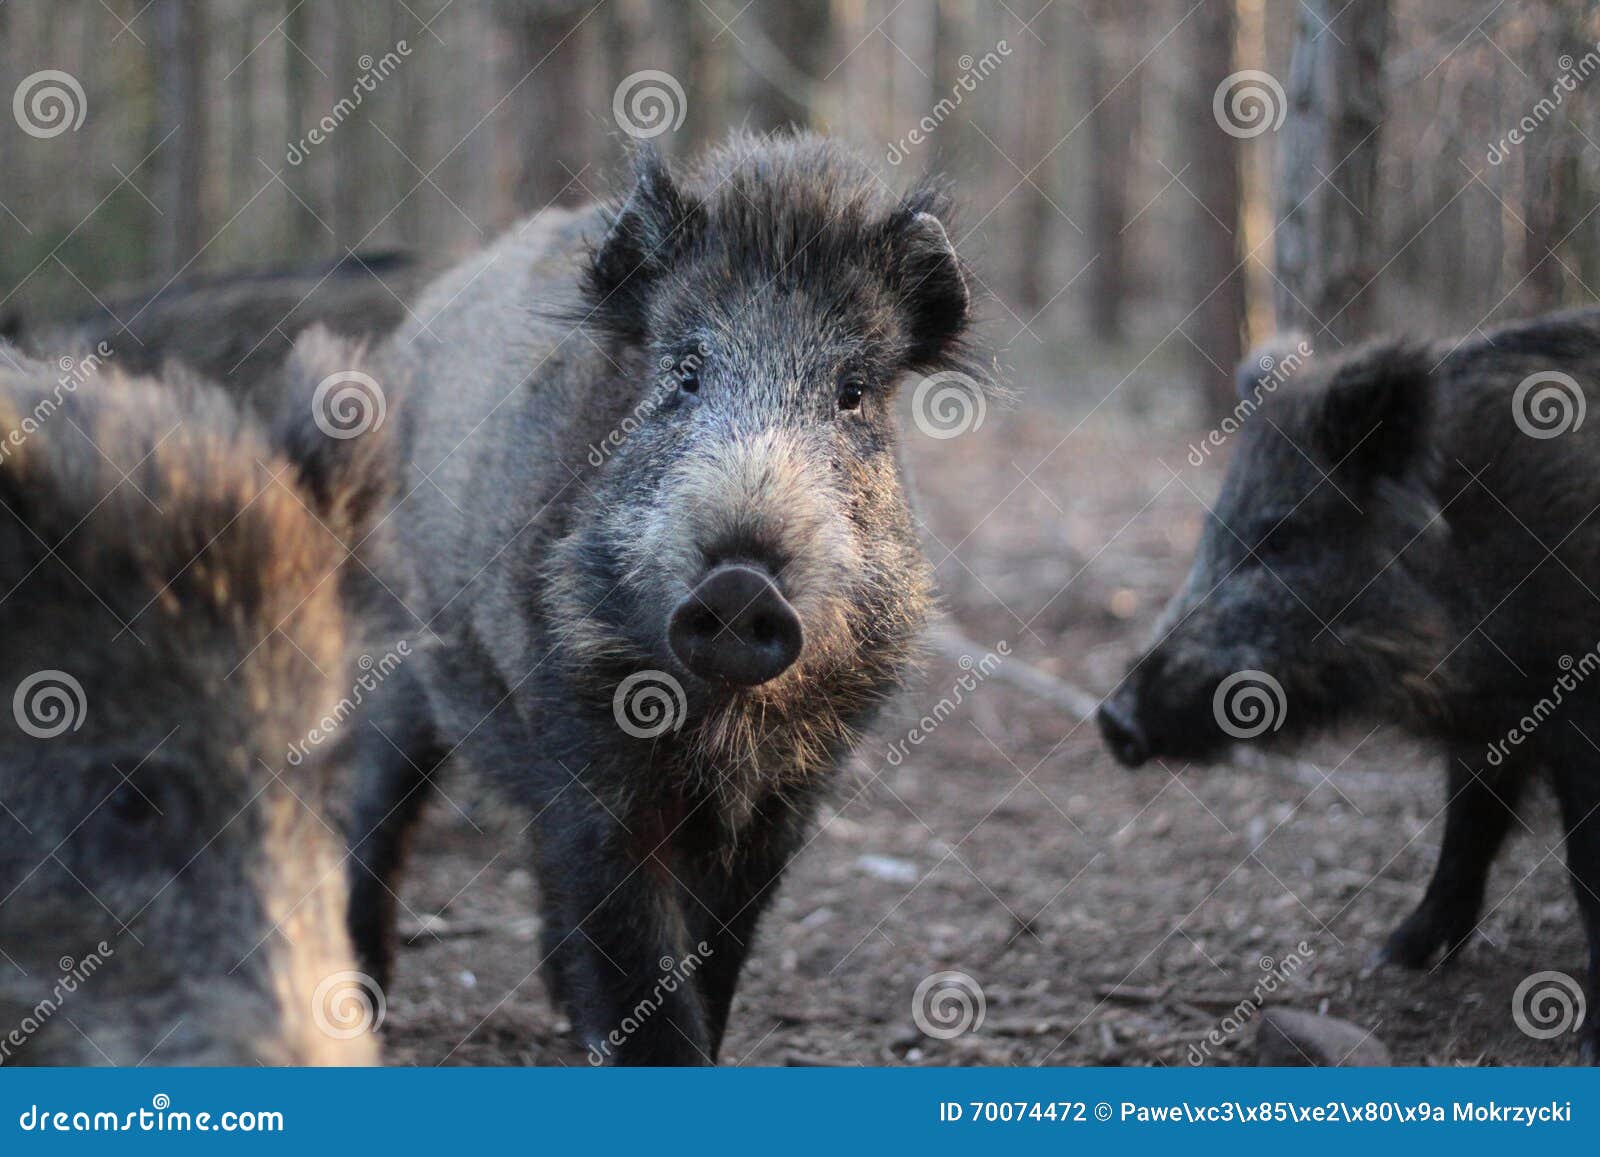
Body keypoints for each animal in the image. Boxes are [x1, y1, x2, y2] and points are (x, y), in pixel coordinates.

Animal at [346, 133, 981, 1064]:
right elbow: (636, 950)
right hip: (399, 648)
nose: (740, 582)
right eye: (685, 371)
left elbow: (717, 950)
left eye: (853, 391)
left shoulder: (789, 795)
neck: (720, 724)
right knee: (373, 804)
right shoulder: (584, 744)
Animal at [1098, 308, 1600, 1061]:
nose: (1112, 718)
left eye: (1281, 537)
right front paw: (1397, 955)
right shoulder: (1490, 721)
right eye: (1210, 530)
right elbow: (1468, 824)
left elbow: (1583, 865)